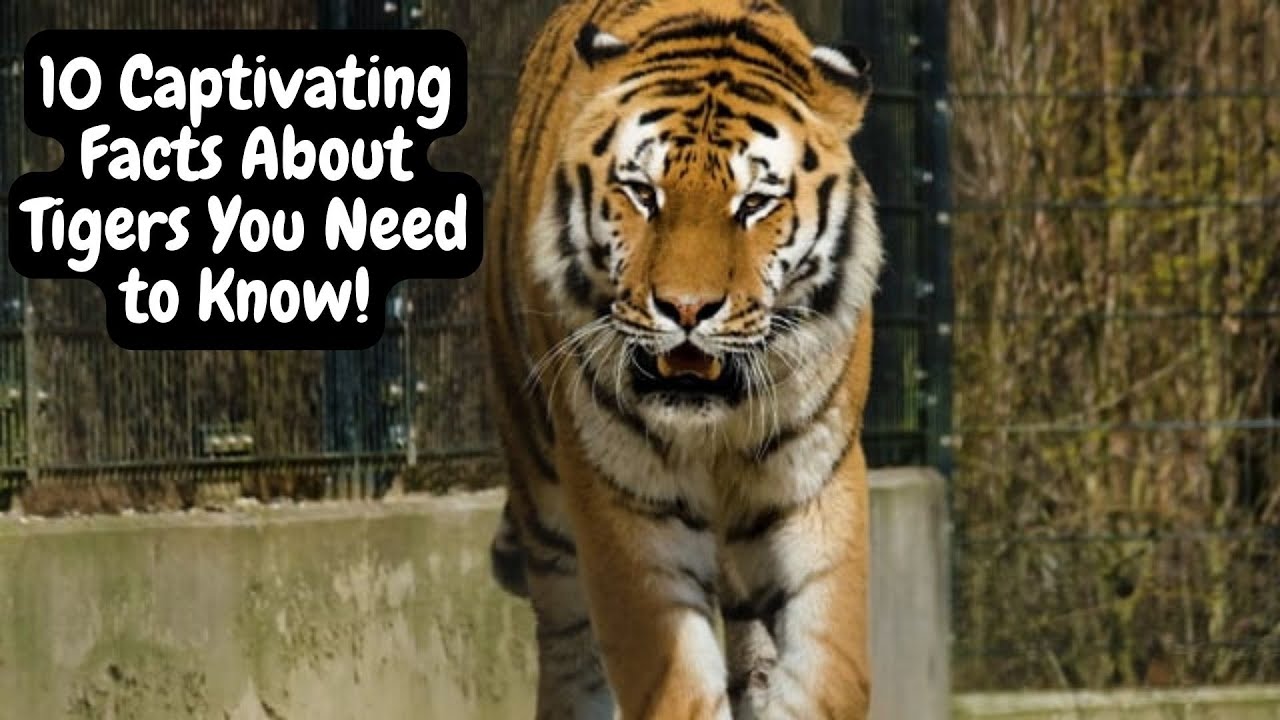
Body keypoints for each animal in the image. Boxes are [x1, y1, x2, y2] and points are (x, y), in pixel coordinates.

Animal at [483, 0, 882, 717]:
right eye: (643, 193)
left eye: (755, 204)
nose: (687, 309)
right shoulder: (625, 494)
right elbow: (670, 678)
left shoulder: (815, 478)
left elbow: (832, 669)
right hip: (542, 488)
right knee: (566, 648)